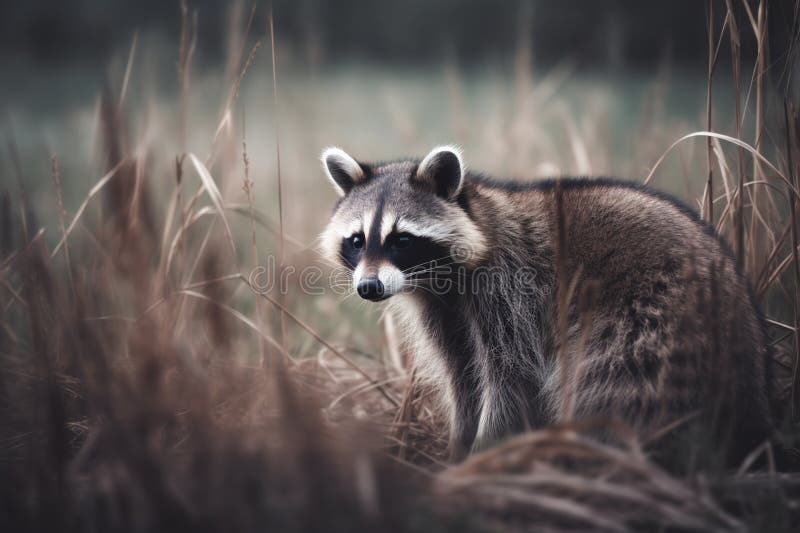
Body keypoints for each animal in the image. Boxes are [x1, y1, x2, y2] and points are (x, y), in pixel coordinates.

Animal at [319, 145, 775, 465]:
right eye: (357, 240)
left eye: (402, 240)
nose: (369, 287)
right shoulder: (444, 310)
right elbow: (462, 379)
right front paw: (459, 449)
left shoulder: (509, 291)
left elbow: (511, 379)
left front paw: (483, 457)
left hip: (652, 323)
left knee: (608, 387)